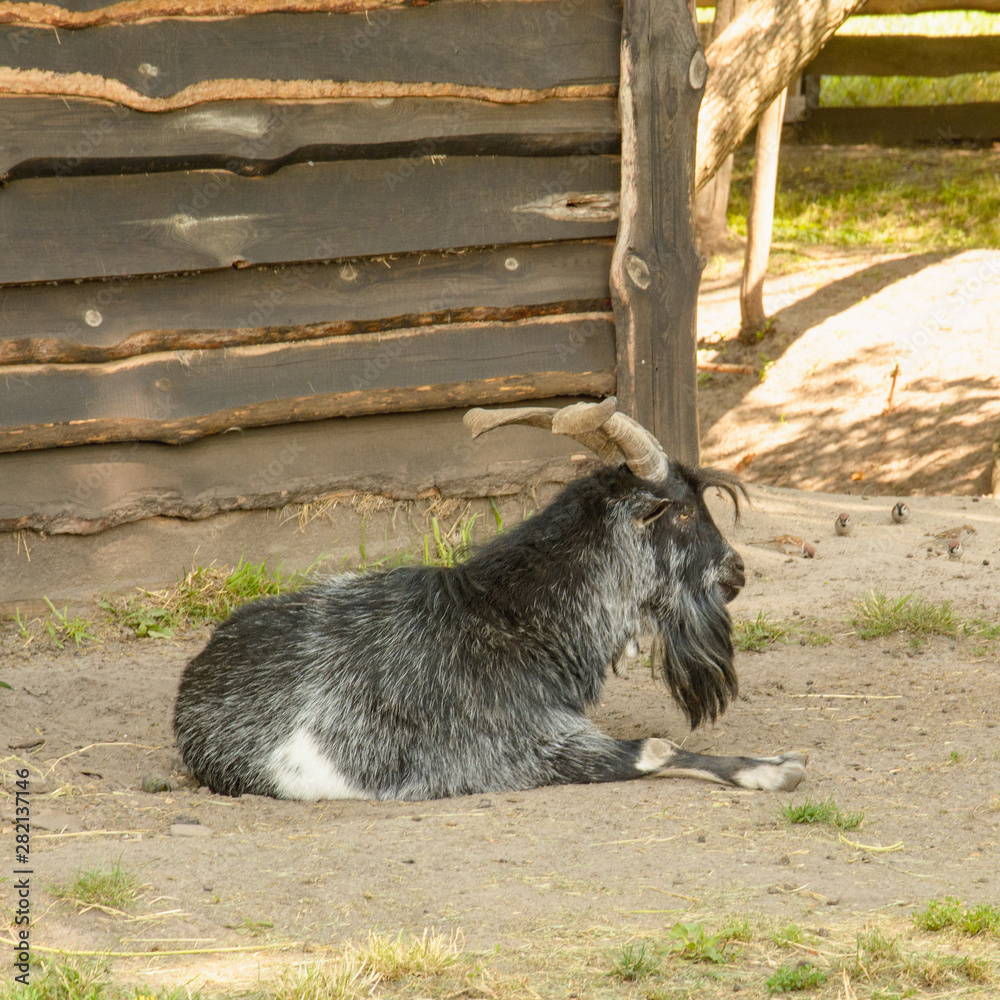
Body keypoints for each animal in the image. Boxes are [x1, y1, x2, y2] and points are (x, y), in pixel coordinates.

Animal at [173, 399, 806, 800]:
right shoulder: (530, 746)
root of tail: (195, 681)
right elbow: (656, 748)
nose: (737, 570)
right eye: (683, 511)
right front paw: (776, 769)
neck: (513, 618)